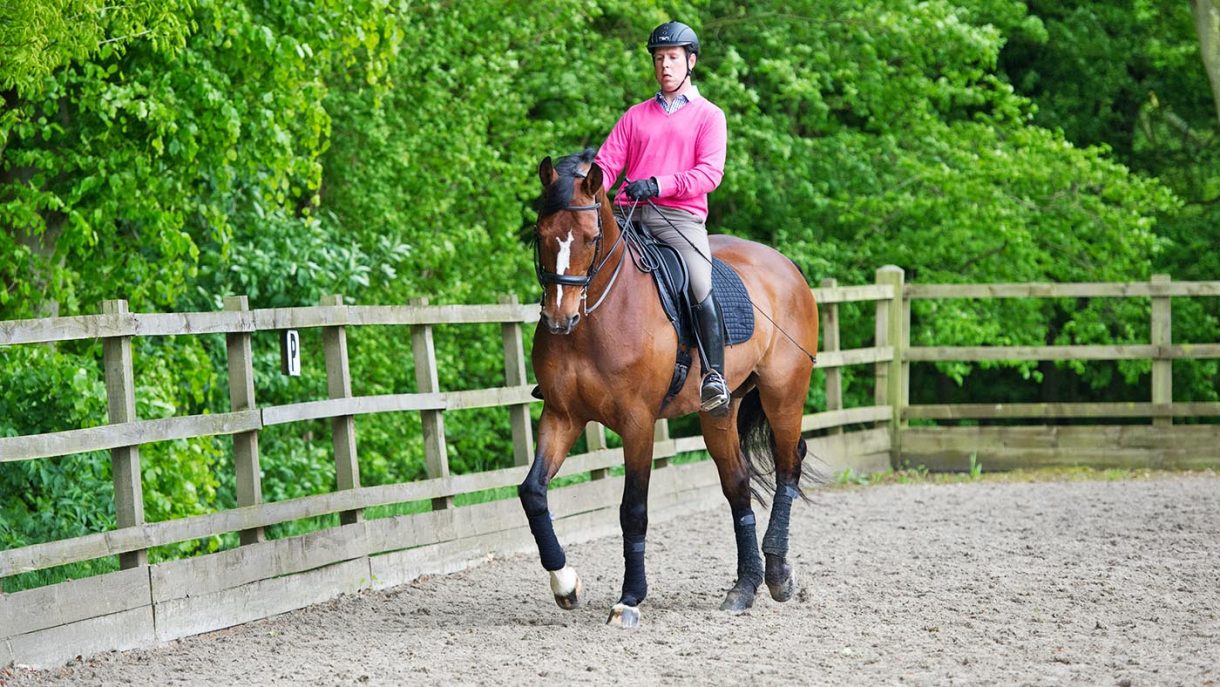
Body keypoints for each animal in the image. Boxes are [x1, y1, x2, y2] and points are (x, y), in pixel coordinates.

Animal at [518, 149, 820, 627]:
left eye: (589, 237)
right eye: (540, 233)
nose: (559, 319)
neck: (598, 316)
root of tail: (784, 265)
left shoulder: (638, 423)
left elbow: (633, 510)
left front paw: (629, 599)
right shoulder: (563, 416)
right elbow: (532, 492)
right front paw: (565, 585)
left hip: (783, 395)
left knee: (788, 466)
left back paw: (777, 575)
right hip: (720, 410)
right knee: (736, 484)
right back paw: (744, 587)